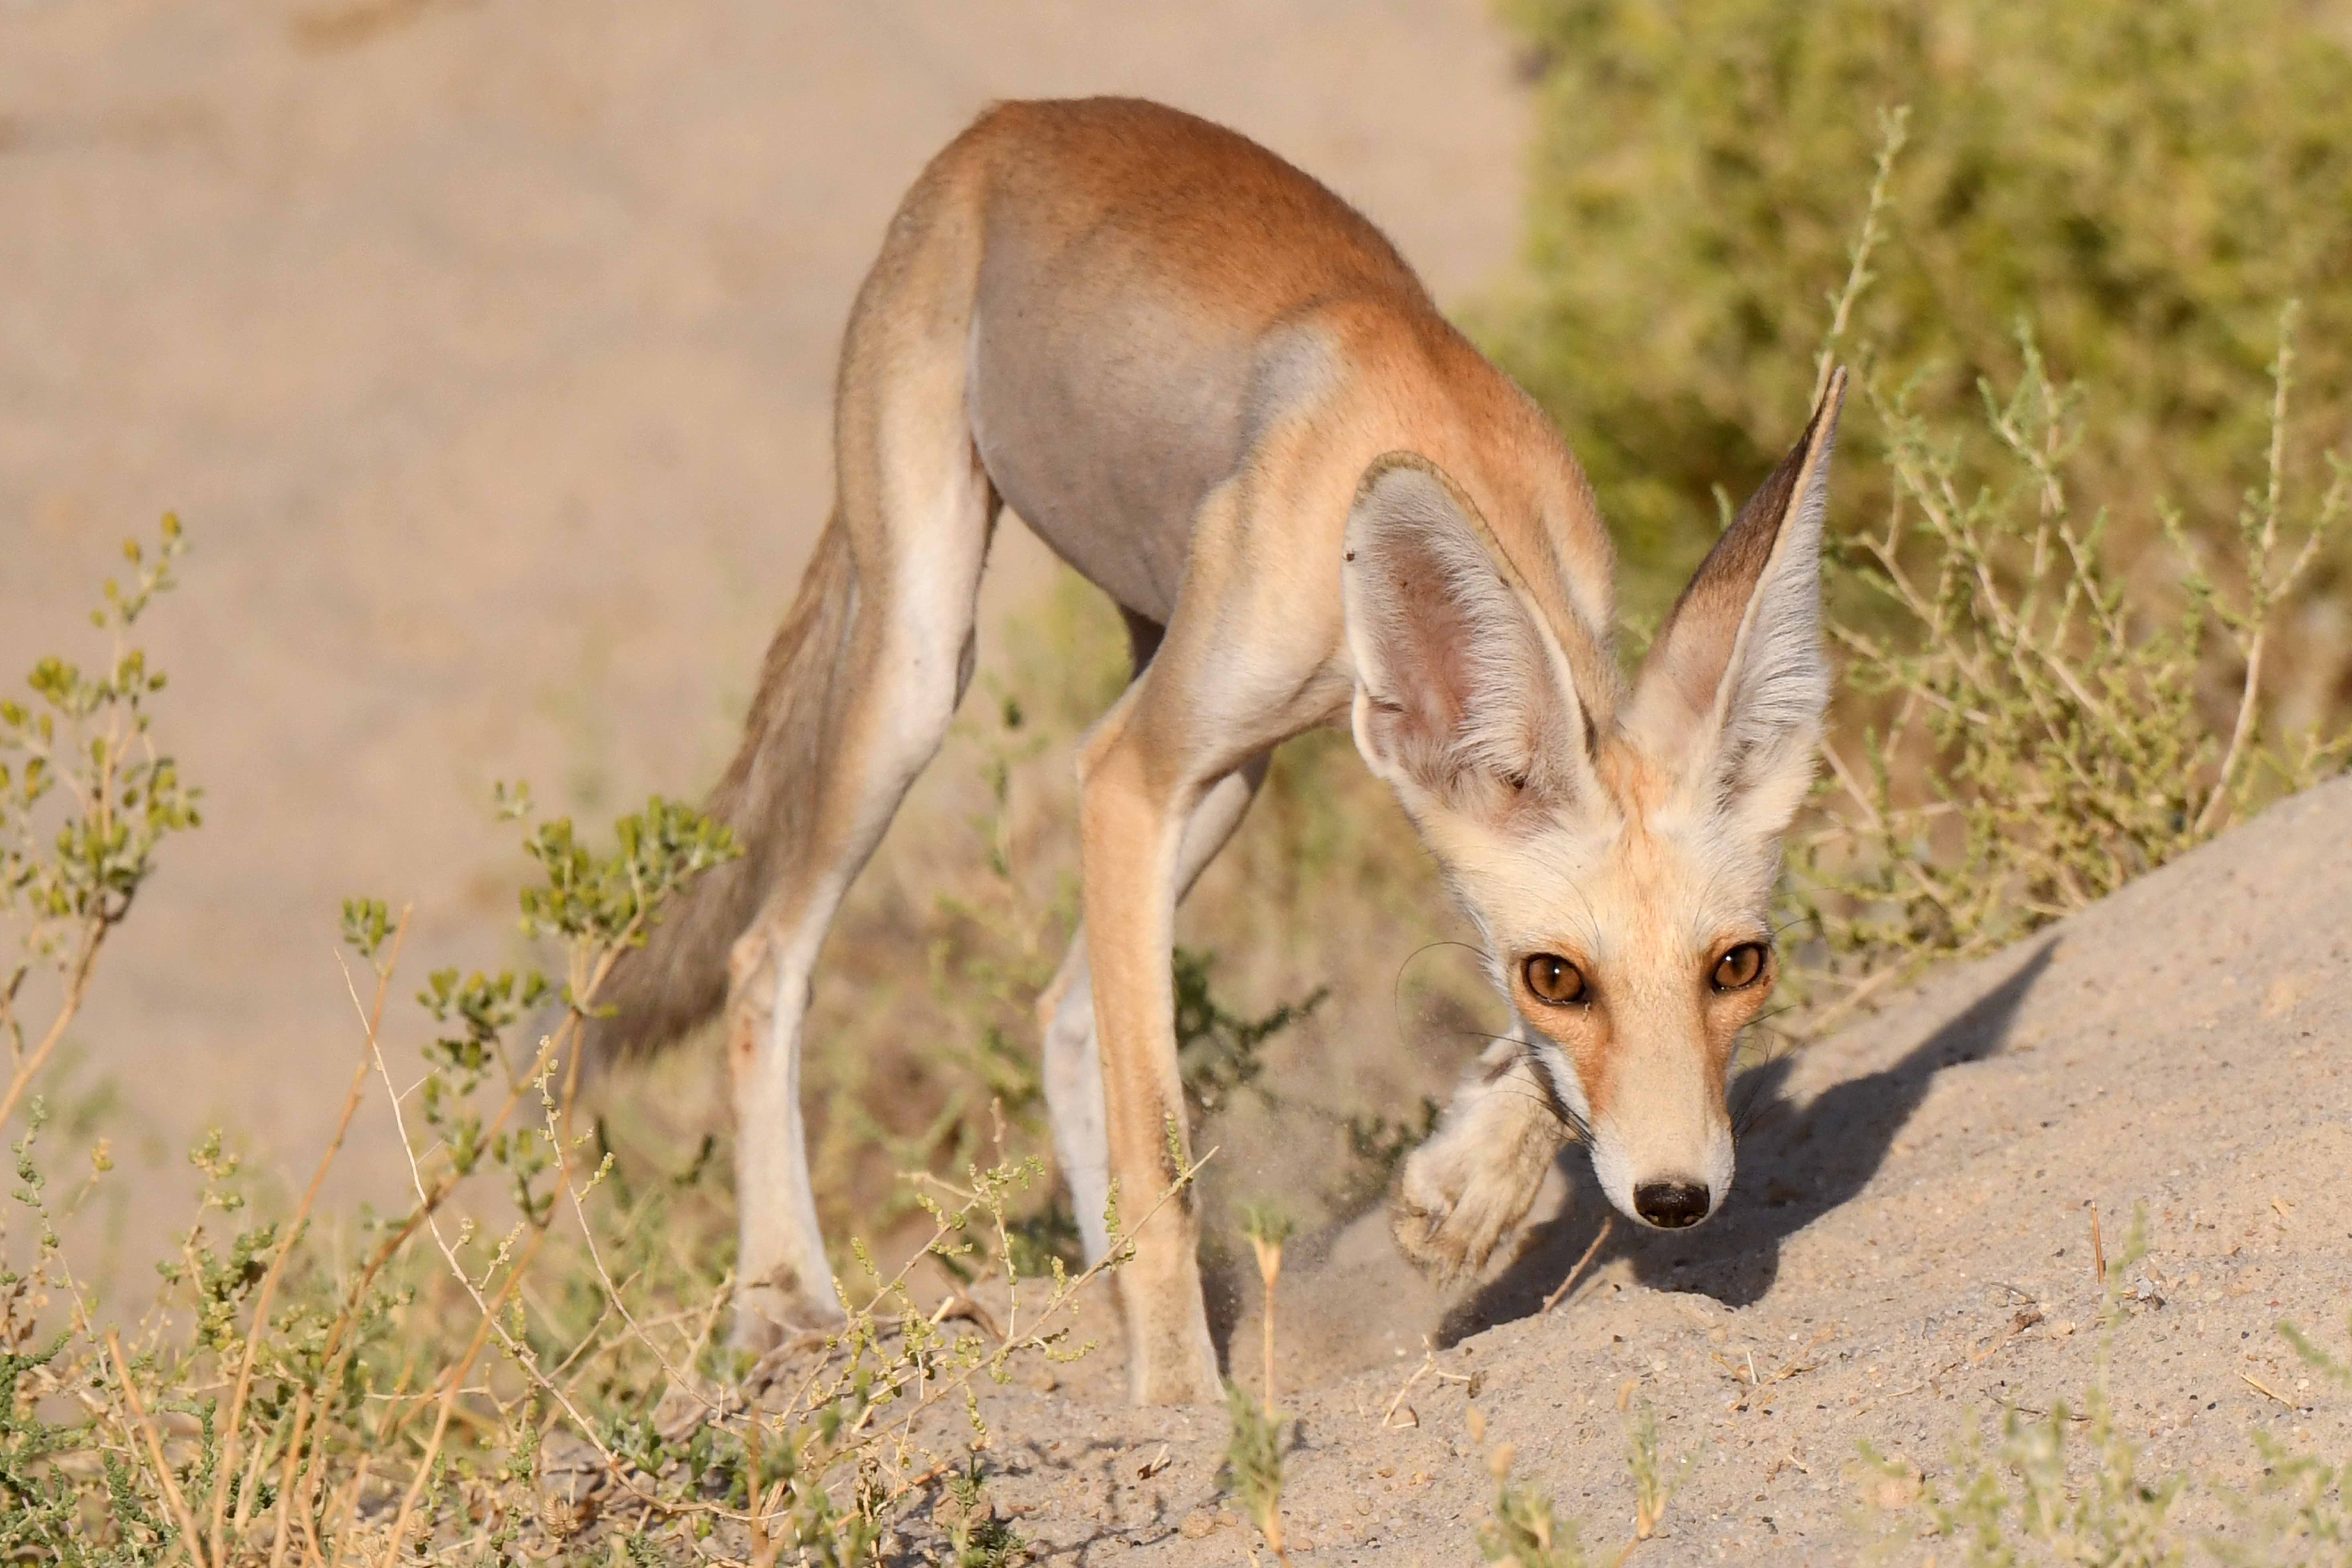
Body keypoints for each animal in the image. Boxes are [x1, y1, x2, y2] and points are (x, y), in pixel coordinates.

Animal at [591, 96, 1844, 1406]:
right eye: (1563, 977)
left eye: (1739, 966)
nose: (1678, 1197)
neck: (1422, 447)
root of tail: (1003, 123)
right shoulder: (1127, 774)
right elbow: (1163, 1149)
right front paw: (1184, 1406)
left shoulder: (1246, 780)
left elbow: (1526, 1083)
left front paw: (1460, 1190)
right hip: (933, 671)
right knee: (765, 959)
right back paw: (788, 1300)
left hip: (1222, 771)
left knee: (1063, 1012)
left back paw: (1089, 1298)